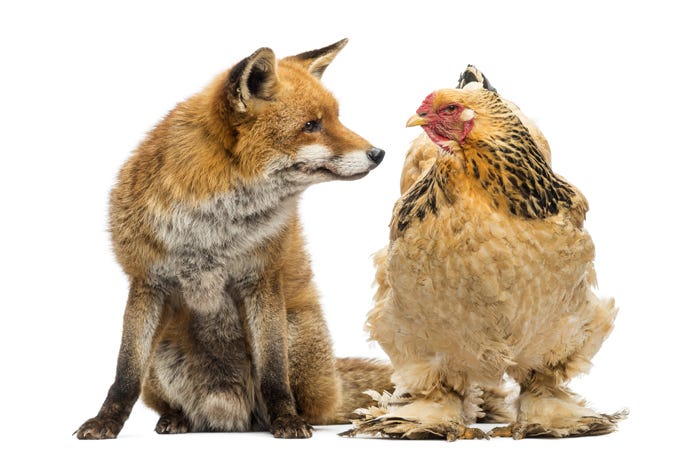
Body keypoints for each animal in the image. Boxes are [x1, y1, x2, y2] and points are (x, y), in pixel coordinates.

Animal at [75, 38, 393, 440]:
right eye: (311, 125)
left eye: (337, 118)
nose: (379, 154)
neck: (213, 228)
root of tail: (230, 417)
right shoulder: (146, 281)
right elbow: (125, 372)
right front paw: (106, 421)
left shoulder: (262, 279)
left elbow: (273, 372)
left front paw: (286, 419)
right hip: (163, 354)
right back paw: (176, 418)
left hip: (297, 333)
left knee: (316, 408)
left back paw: (291, 417)